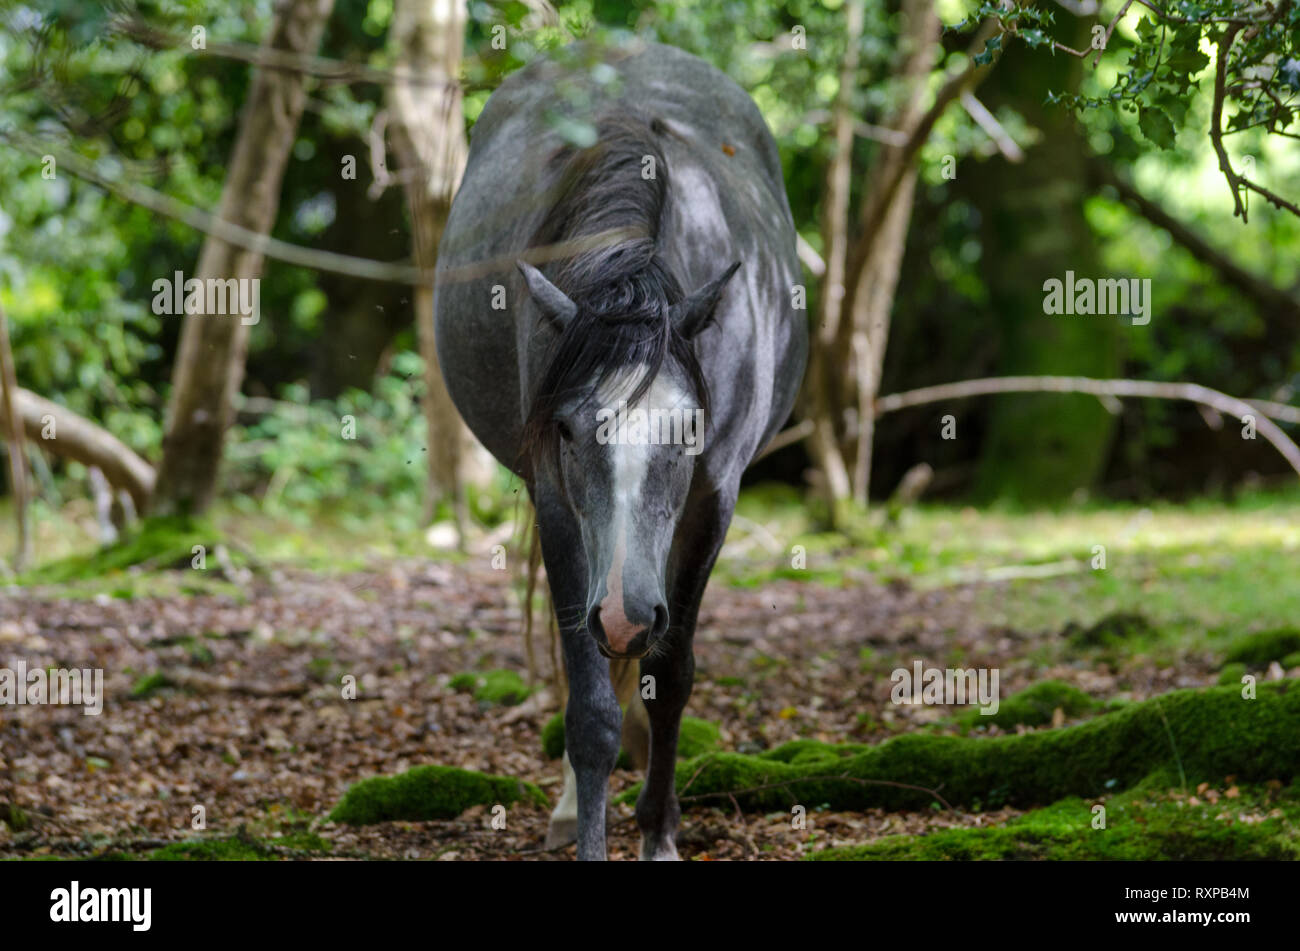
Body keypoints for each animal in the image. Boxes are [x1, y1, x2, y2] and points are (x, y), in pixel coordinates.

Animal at [433, 40, 806, 860]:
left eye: (688, 431)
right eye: (572, 431)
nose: (624, 612)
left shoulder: (713, 496)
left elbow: (670, 676)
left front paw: (658, 832)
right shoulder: (558, 500)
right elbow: (589, 706)